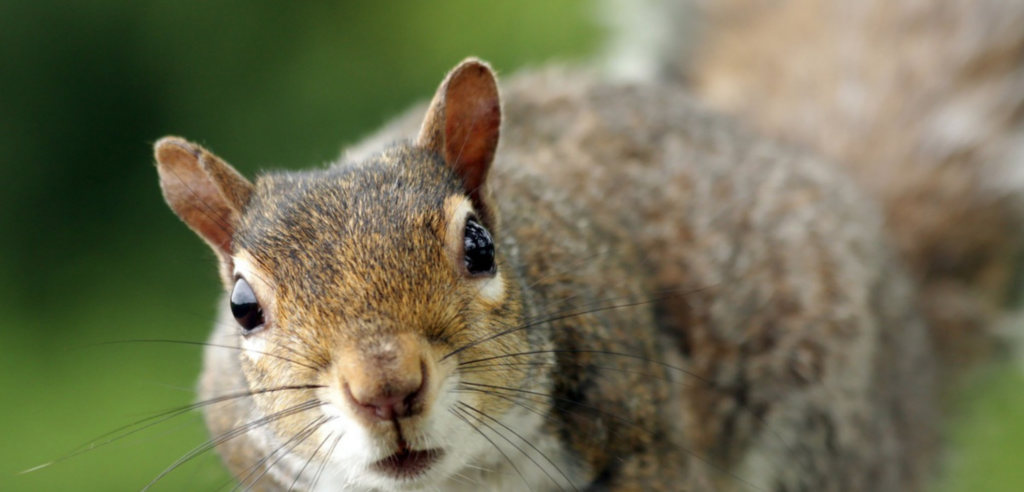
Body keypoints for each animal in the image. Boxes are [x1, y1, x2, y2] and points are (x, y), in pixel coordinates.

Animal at [151, 2, 1024, 491]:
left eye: (479, 246)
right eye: (243, 306)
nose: (387, 388)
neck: (453, 486)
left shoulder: (640, 416)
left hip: (828, 436)